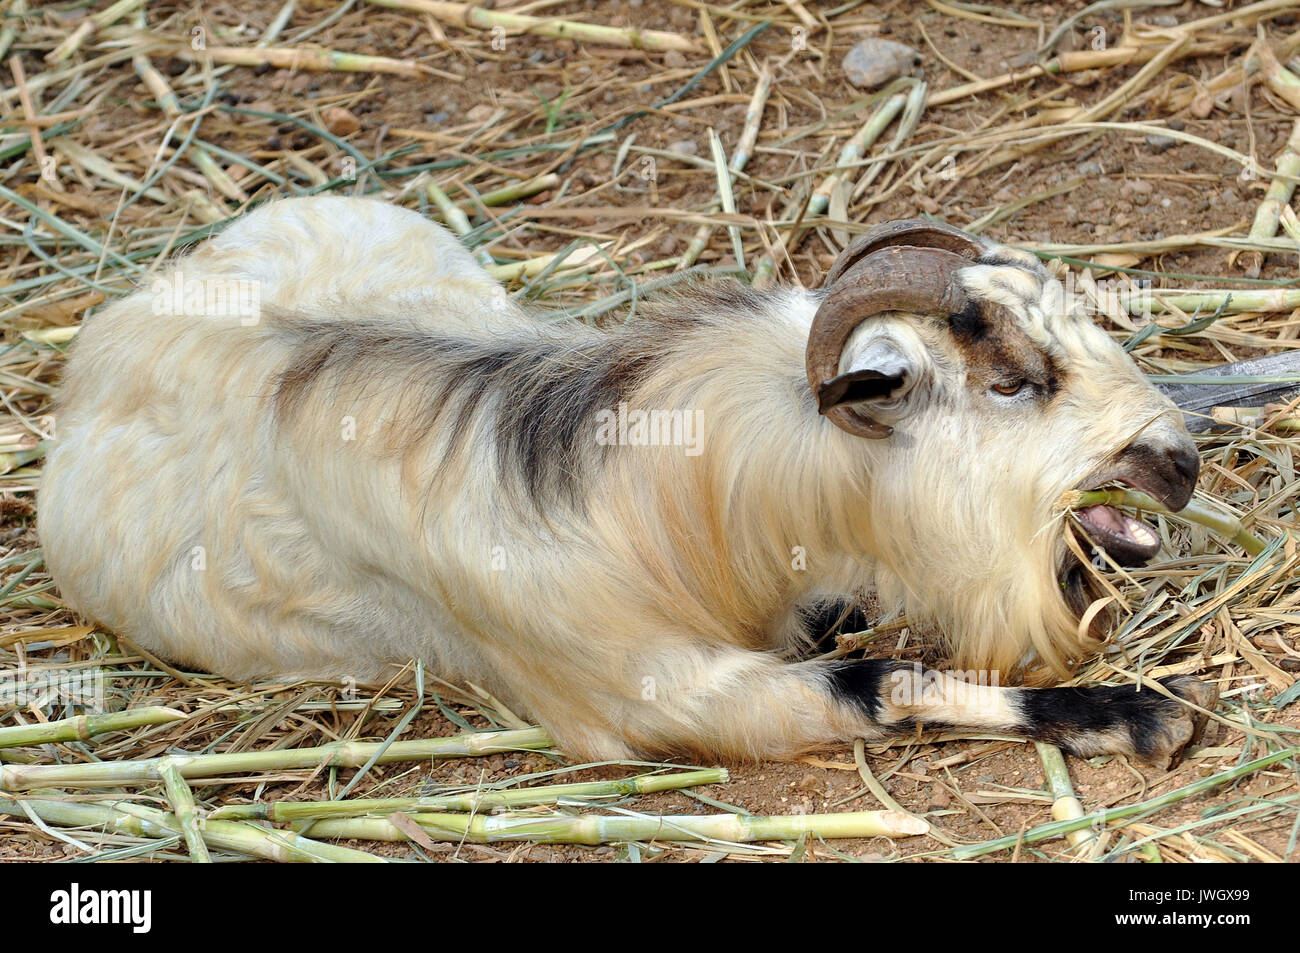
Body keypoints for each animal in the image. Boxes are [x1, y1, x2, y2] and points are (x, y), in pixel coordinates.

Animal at [38, 196, 1215, 766]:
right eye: (1013, 382)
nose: (1180, 462)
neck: (660, 503)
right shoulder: (652, 693)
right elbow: (881, 682)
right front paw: (1132, 716)